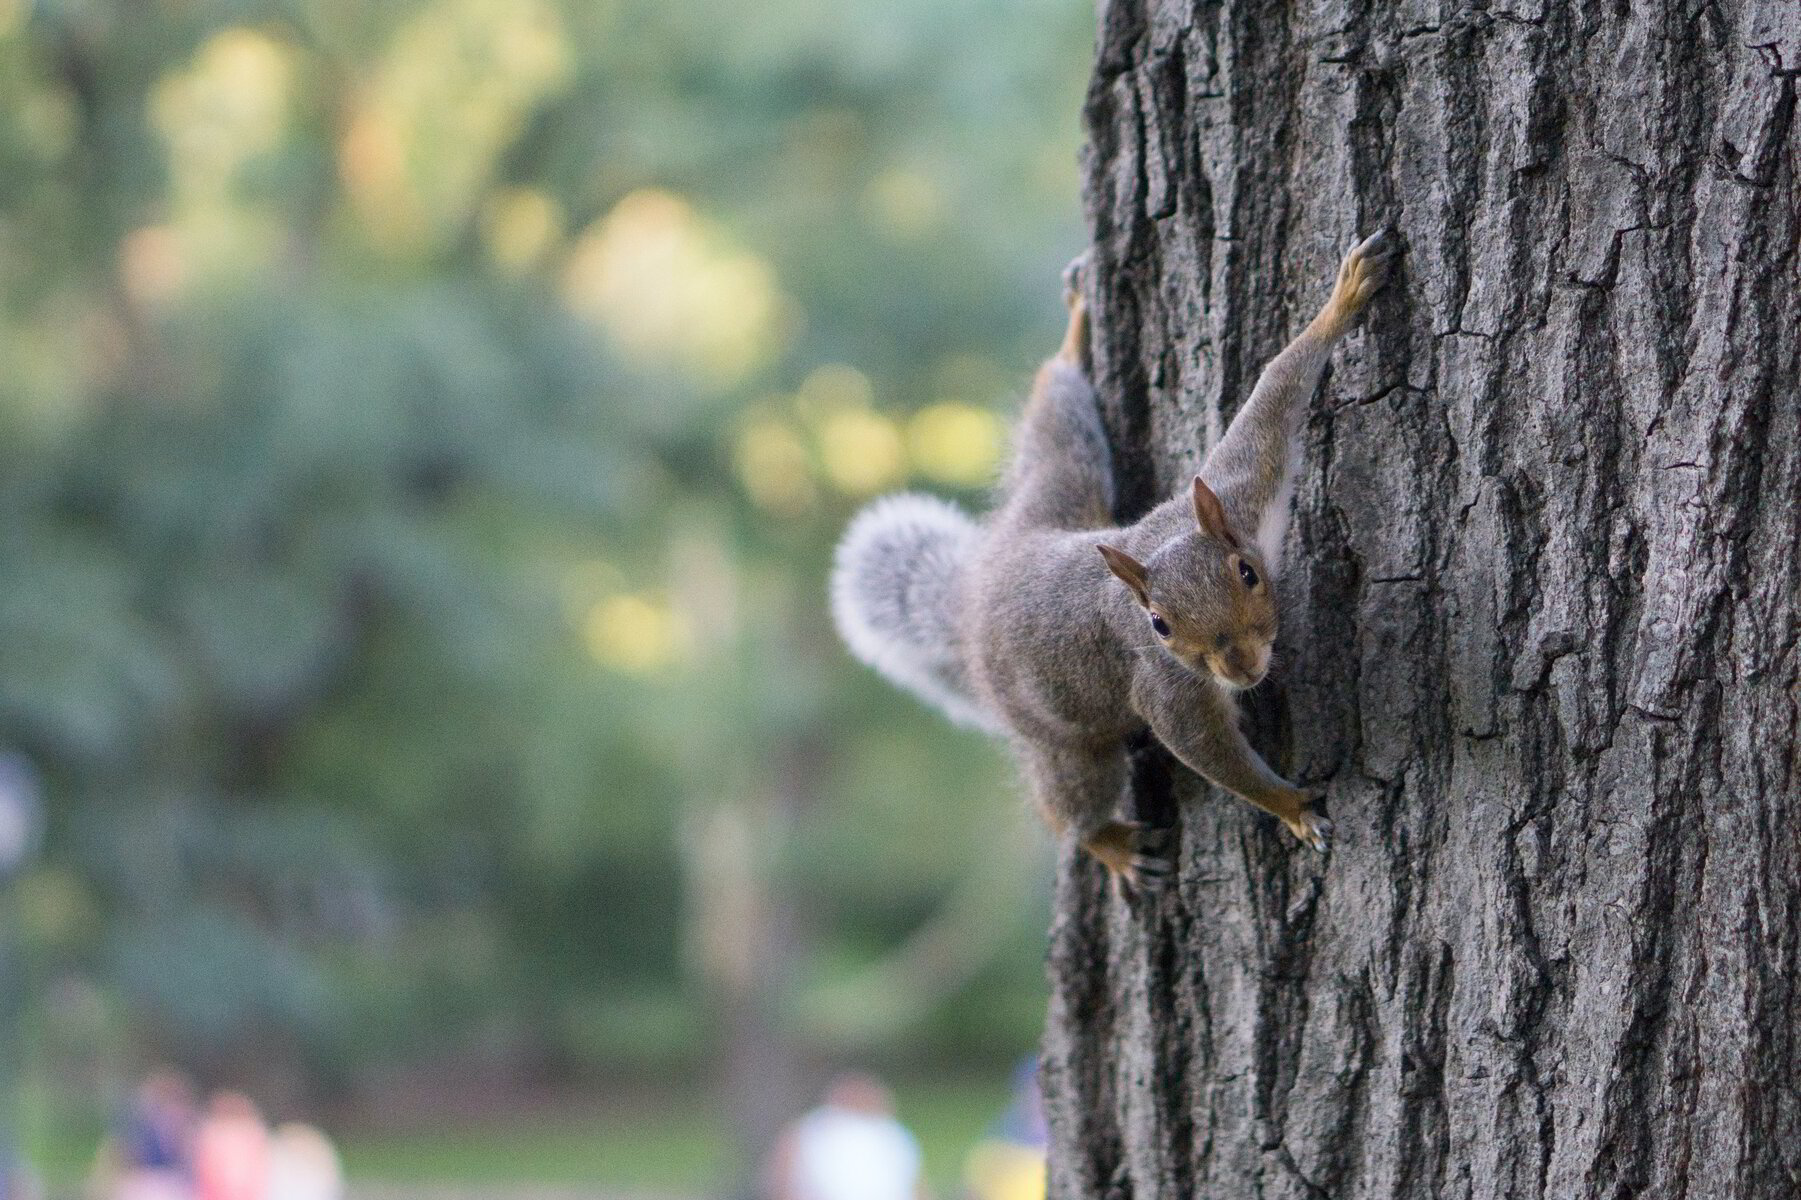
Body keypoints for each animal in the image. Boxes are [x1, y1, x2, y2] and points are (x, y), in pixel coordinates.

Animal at [832, 231, 1398, 891]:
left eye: (1248, 573)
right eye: (1159, 626)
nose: (1240, 668)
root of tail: (976, 593)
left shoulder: (1241, 487)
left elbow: (1277, 390)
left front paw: (1345, 297)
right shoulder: (1167, 689)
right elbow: (1210, 755)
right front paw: (1292, 809)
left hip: (1059, 484)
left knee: (1055, 422)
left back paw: (1074, 336)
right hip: (1061, 738)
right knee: (1067, 805)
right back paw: (1111, 846)